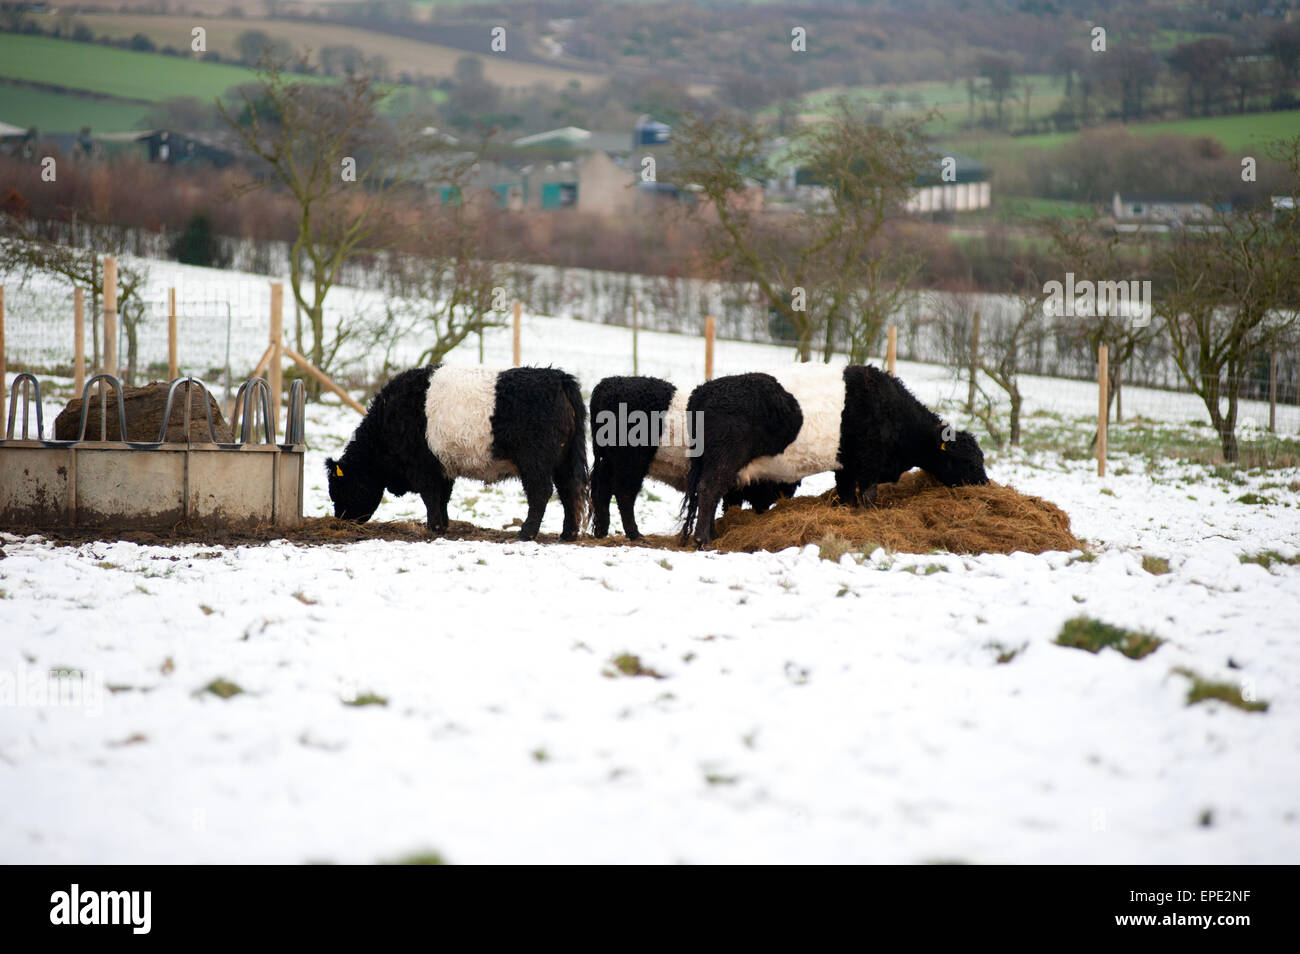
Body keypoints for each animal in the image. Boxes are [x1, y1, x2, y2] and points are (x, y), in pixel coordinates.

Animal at [326, 364, 588, 542]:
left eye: (341, 487)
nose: (341, 520)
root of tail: (558, 378)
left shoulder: (423, 467)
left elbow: (431, 497)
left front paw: (433, 528)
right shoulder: (443, 467)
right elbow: (443, 498)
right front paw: (443, 525)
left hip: (535, 462)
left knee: (541, 494)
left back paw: (526, 533)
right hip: (564, 461)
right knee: (569, 491)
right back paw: (568, 534)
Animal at [589, 375, 799, 540]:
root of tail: (609, 383)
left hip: (609, 462)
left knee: (602, 490)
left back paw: (601, 531)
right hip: (630, 463)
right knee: (624, 494)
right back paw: (635, 535)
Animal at [681, 363, 988, 546]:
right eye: (965, 461)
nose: (985, 487)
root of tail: (704, 390)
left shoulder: (846, 467)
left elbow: (847, 496)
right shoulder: (868, 464)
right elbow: (868, 496)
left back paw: (711, 534)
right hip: (723, 460)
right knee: (709, 490)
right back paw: (703, 540)